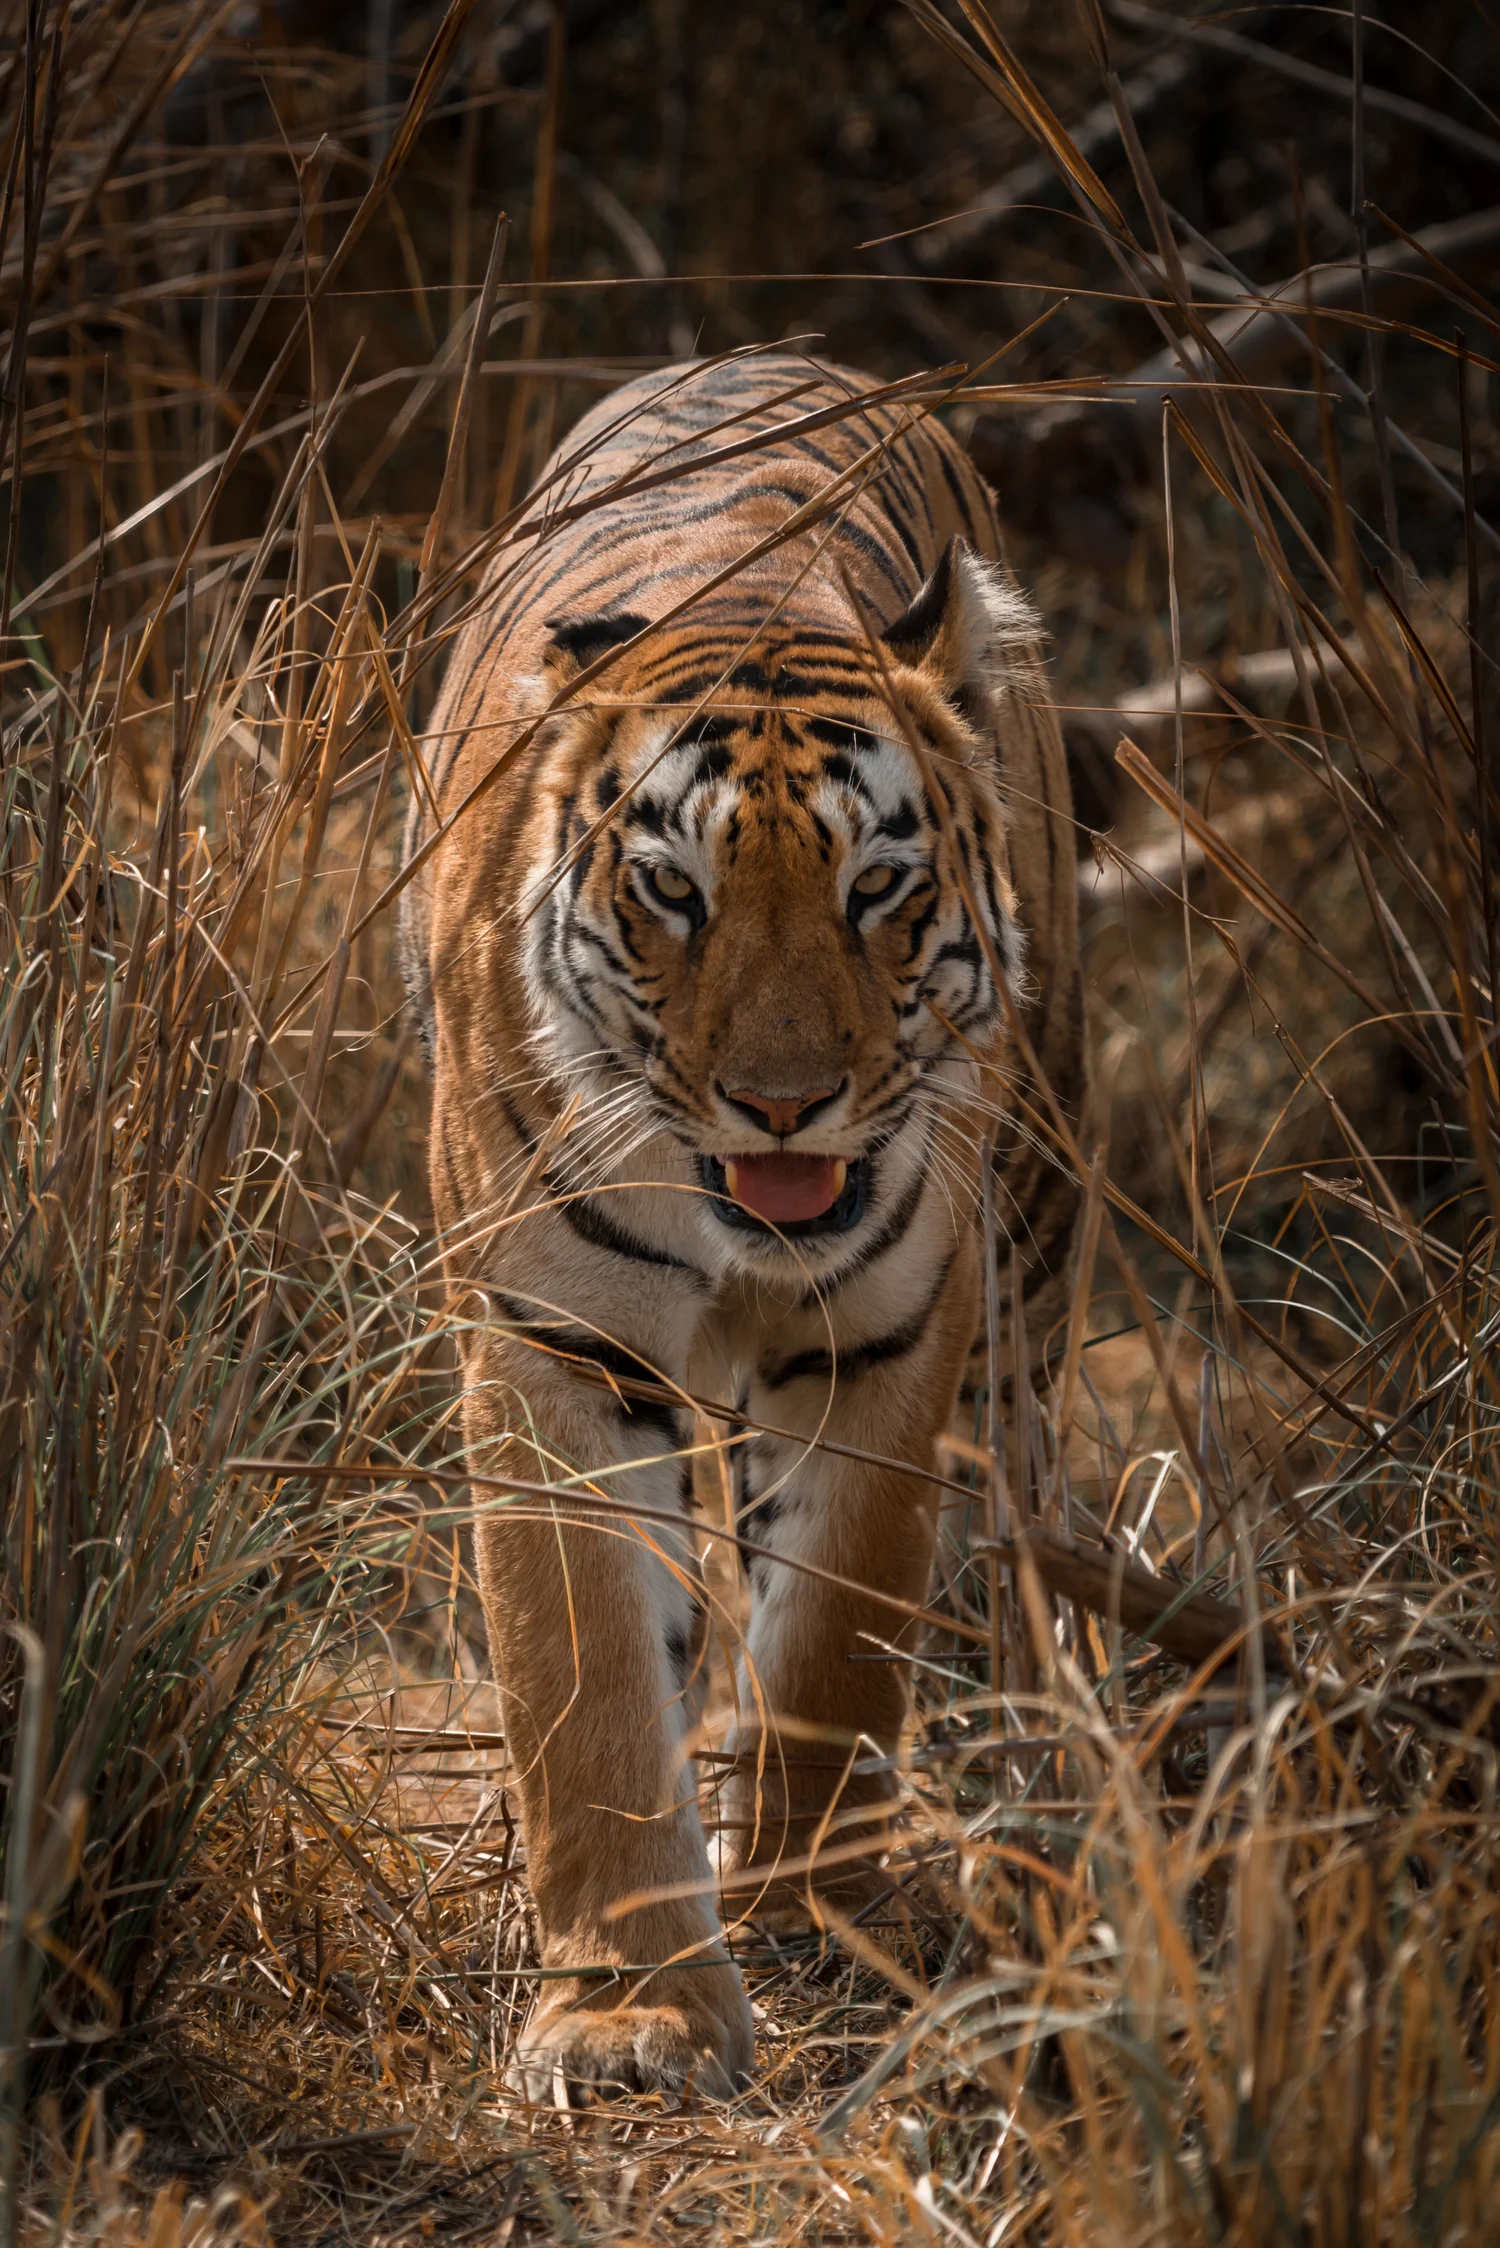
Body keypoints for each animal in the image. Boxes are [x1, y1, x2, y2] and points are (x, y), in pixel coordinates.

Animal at [401, 348, 1086, 2100]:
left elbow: (835, 1638)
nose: (785, 1104)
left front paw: (806, 1905)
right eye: (675, 893)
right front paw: (630, 2008)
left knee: (1020, 1495)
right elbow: (584, 1677)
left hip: (1034, 1223)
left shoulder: (889, 1336)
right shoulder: (558, 1351)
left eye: (877, 889)